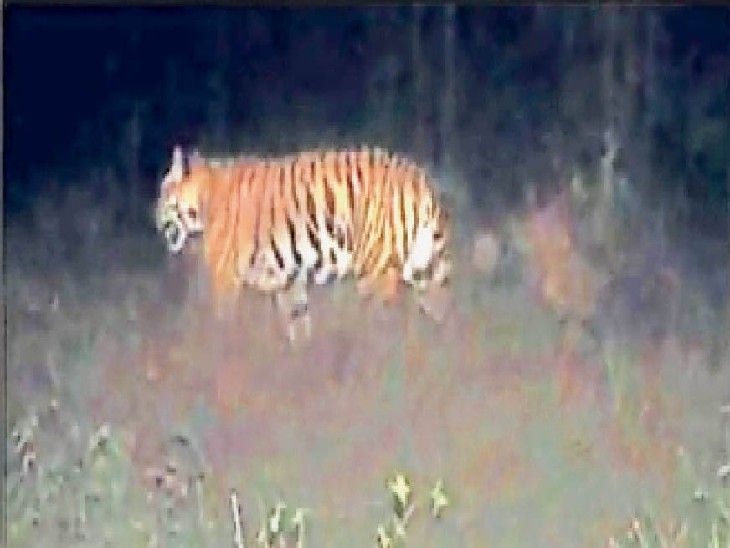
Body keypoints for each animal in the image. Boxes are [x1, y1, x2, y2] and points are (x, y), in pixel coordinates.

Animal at [155, 145, 452, 343]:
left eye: (163, 191)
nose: (155, 217)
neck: (207, 196)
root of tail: (419, 178)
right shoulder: (289, 279)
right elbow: (298, 323)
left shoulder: (225, 278)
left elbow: (222, 323)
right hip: (422, 267)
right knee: (439, 311)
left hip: (375, 269)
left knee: (379, 324)